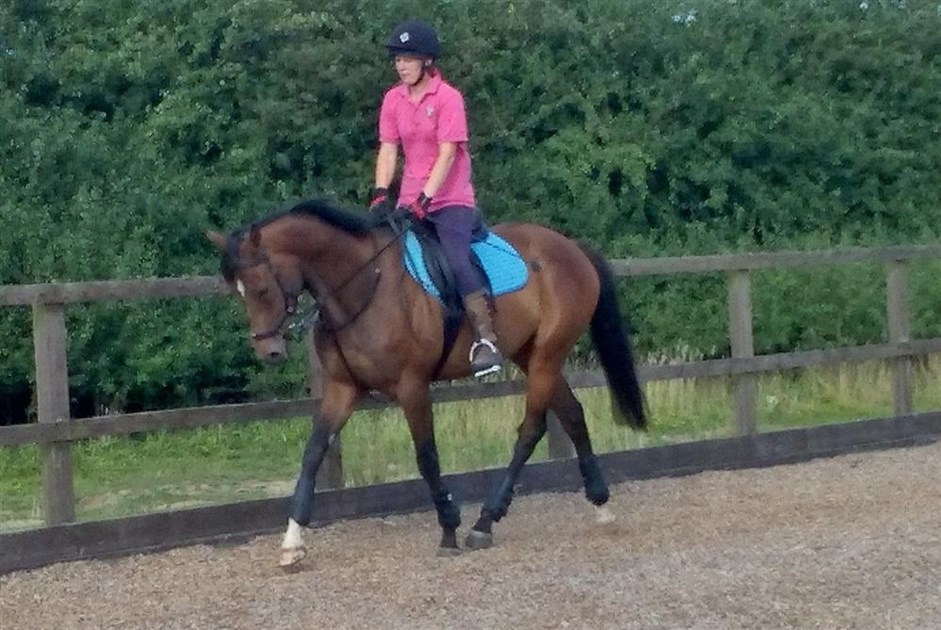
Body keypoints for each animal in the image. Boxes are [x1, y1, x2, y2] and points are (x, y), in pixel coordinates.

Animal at [207, 199, 647, 567]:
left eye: (262, 288)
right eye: (237, 292)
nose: (268, 352)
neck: (363, 286)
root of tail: (571, 247)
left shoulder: (412, 386)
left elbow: (426, 456)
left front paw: (448, 527)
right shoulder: (342, 389)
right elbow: (313, 452)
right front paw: (293, 541)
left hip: (546, 357)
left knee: (531, 430)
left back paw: (484, 522)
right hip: (531, 354)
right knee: (571, 414)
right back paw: (601, 505)